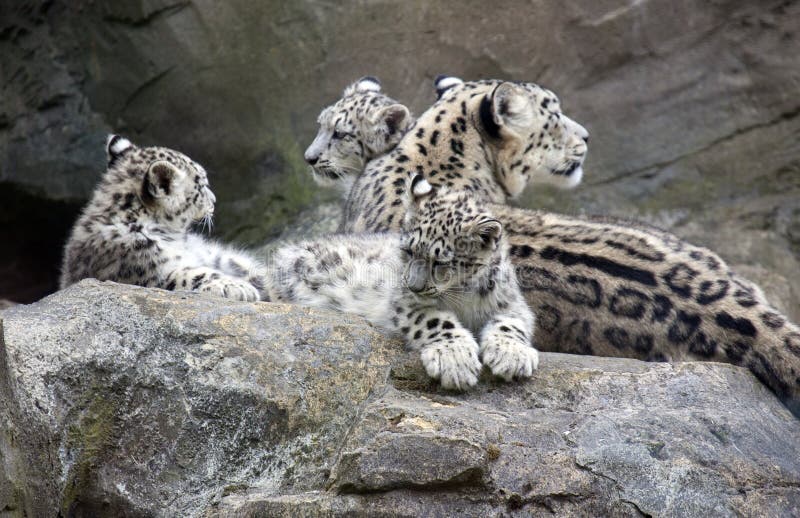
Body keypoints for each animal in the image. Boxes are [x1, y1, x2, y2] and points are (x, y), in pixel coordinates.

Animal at [60, 135, 266, 301]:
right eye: (201, 185)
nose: (214, 201)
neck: (175, 237)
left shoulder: (209, 254)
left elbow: (233, 263)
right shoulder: (146, 270)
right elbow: (191, 274)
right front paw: (239, 287)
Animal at [266, 177, 538, 390]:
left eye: (441, 262)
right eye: (408, 250)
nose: (414, 286)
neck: (463, 295)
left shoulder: (512, 303)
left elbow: (512, 323)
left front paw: (511, 355)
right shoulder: (404, 302)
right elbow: (436, 321)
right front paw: (455, 360)